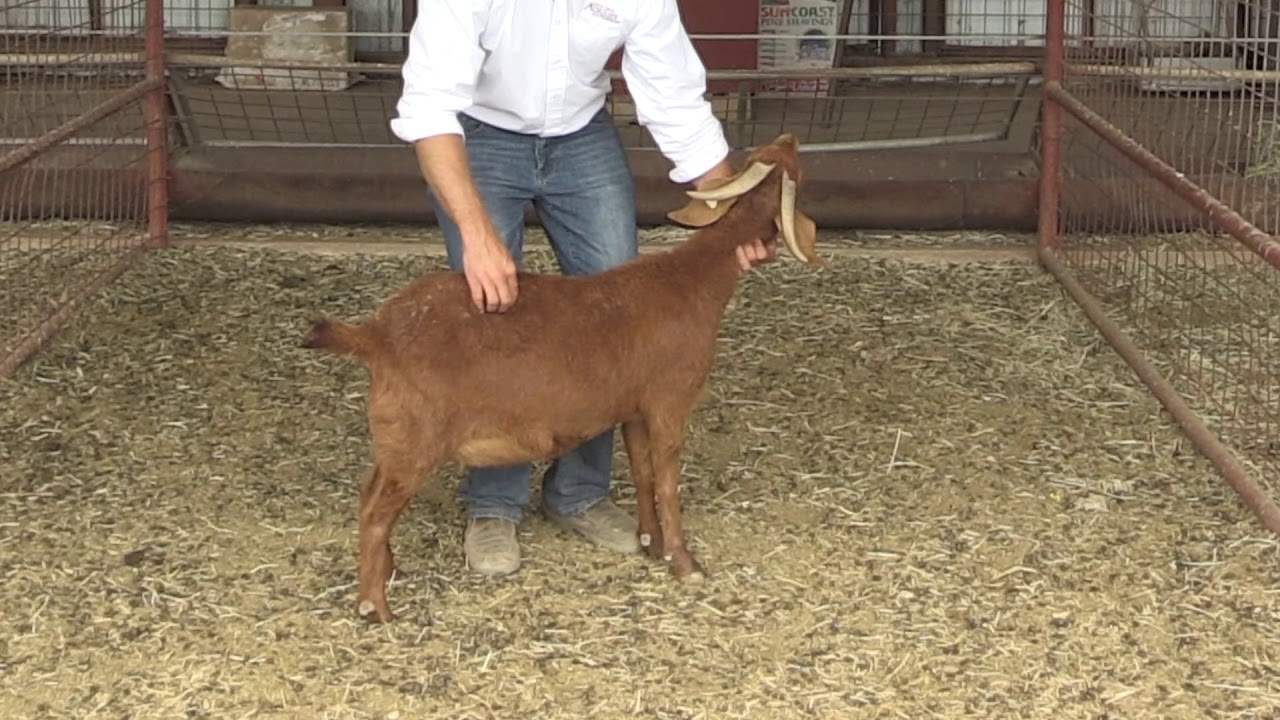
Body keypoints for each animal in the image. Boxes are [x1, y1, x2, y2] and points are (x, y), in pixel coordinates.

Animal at [301, 132, 823, 623]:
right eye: (794, 168)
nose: (792, 138)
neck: (694, 280)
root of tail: (375, 333)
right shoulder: (669, 401)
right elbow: (668, 480)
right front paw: (684, 563)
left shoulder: (634, 408)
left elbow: (643, 473)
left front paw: (650, 542)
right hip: (415, 439)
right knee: (374, 515)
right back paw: (375, 607)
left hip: (395, 438)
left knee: (368, 497)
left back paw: (387, 572)